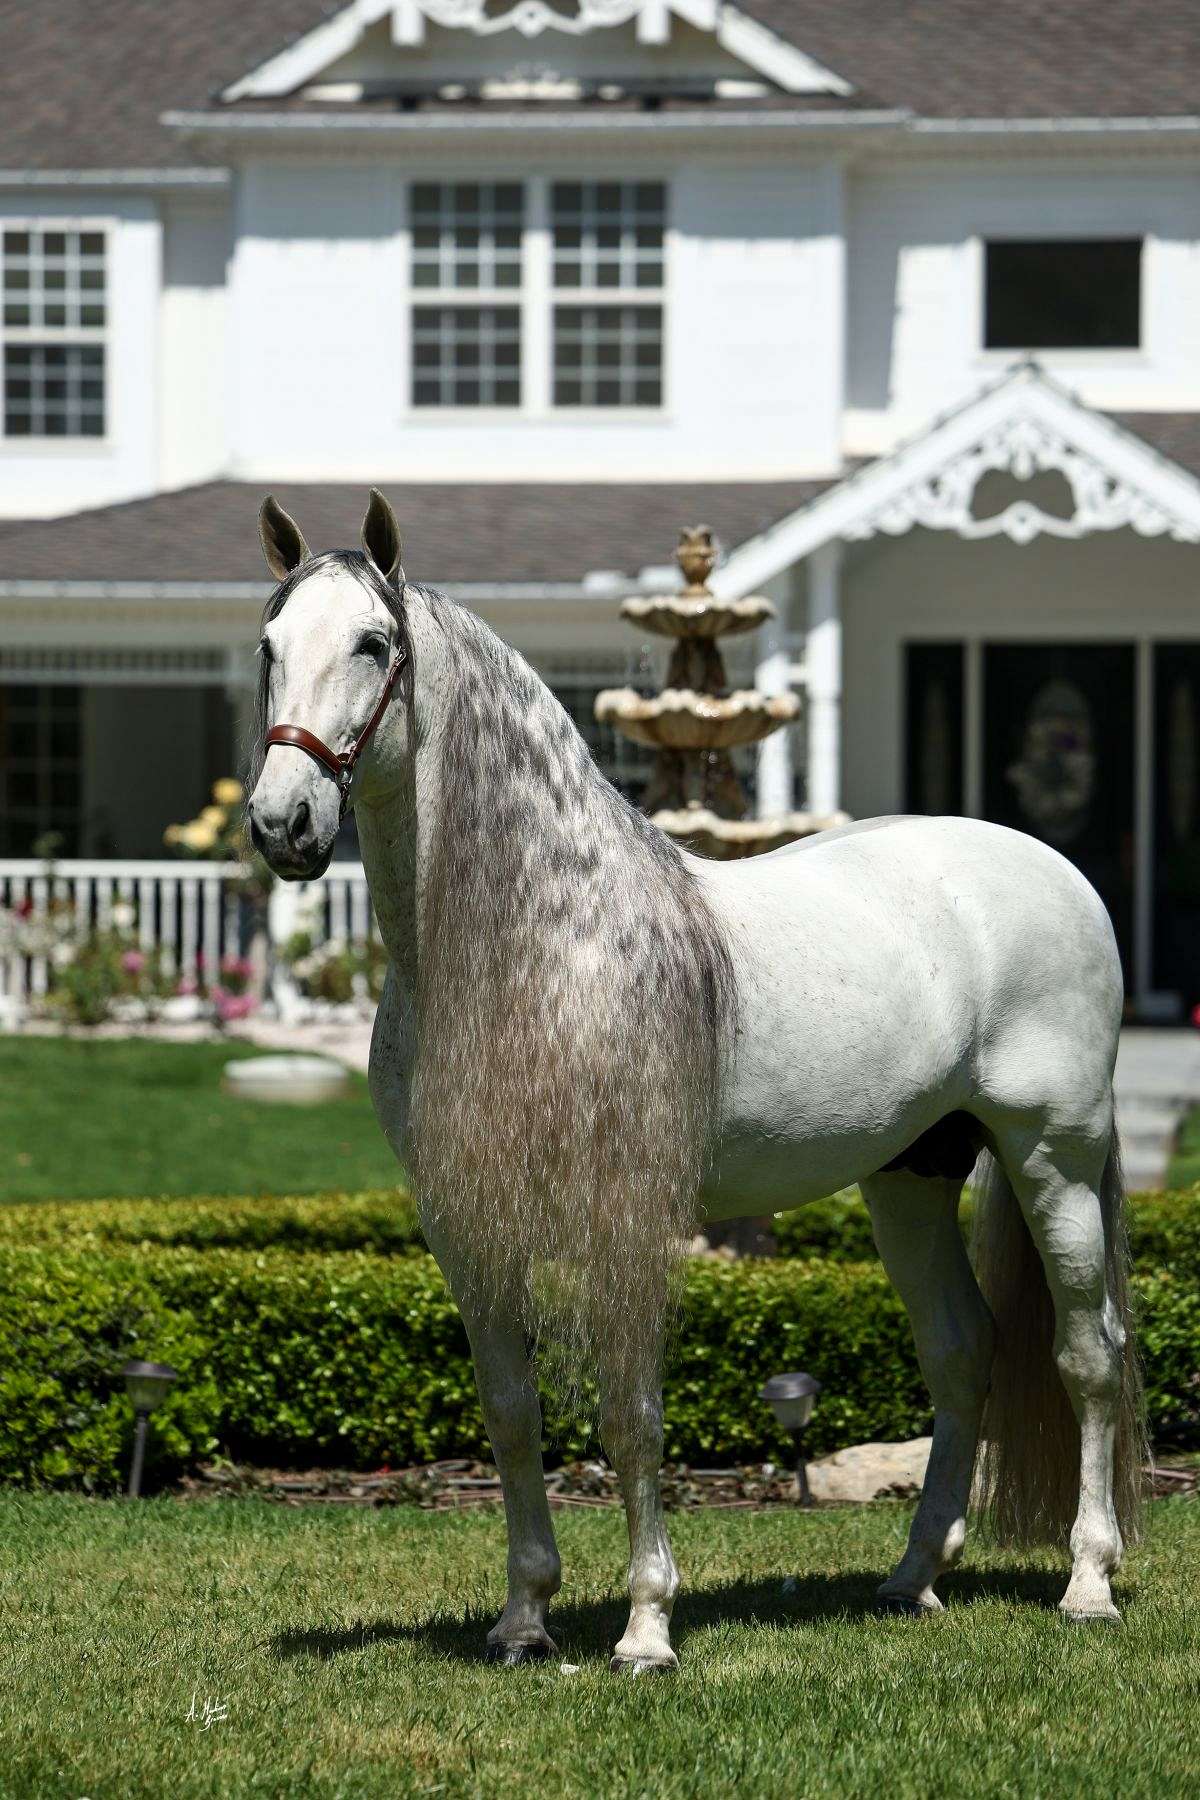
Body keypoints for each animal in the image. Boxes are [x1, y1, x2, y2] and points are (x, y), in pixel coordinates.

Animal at [246, 489, 1143, 1673]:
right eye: (268, 646)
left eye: (372, 644)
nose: (282, 824)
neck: (535, 946)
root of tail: (1054, 871)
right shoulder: (465, 1220)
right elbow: (512, 1411)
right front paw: (524, 1619)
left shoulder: (625, 1214)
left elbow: (631, 1415)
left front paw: (645, 1629)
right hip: (909, 1177)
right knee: (961, 1354)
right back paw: (912, 1577)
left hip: (1054, 1159)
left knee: (1087, 1355)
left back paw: (1089, 1582)